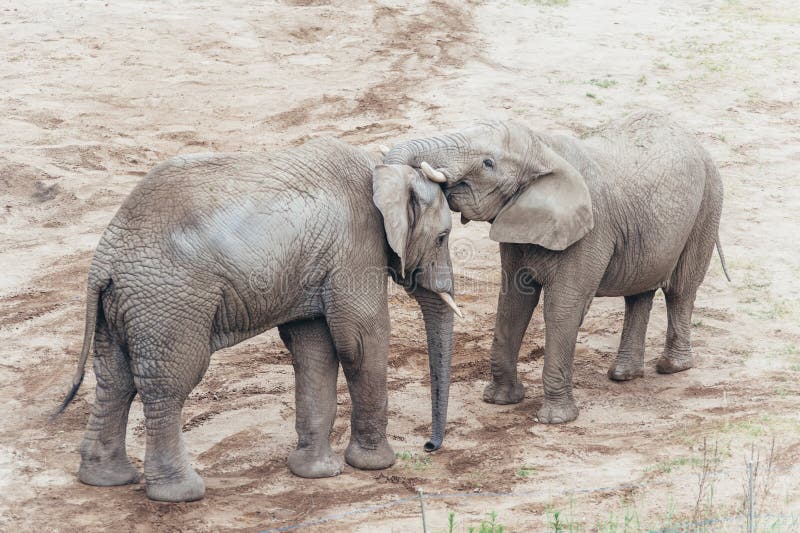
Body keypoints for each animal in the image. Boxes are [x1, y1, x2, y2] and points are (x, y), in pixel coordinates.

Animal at [54, 137, 461, 502]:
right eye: (443, 237)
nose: (429, 446)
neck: (383, 168)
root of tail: (105, 259)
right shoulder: (355, 248)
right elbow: (360, 340)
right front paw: (375, 465)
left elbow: (313, 348)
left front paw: (316, 473)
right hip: (169, 301)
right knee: (169, 384)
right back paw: (180, 494)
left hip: (122, 305)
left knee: (115, 380)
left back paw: (104, 479)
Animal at [383, 111, 729, 424]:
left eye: (488, 163)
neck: (543, 147)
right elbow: (514, 302)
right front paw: (499, 400)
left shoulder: (591, 229)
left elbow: (562, 307)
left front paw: (554, 419)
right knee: (639, 290)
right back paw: (624, 374)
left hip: (708, 202)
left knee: (680, 289)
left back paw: (672, 367)